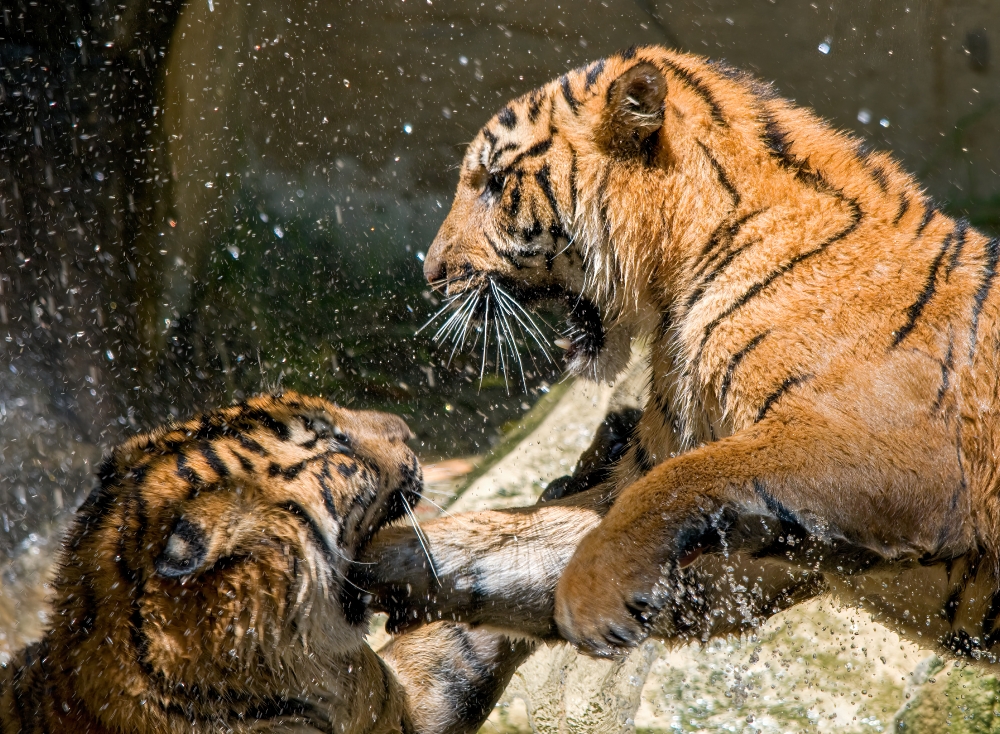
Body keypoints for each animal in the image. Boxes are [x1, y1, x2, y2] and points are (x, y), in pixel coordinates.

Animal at [357, 43, 1000, 676]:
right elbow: (514, 536)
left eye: (494, 183)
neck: (682, 273)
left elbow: (679, 482)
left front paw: (592, 596)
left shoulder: (888, 448)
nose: (431, 274)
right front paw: (376, 560)